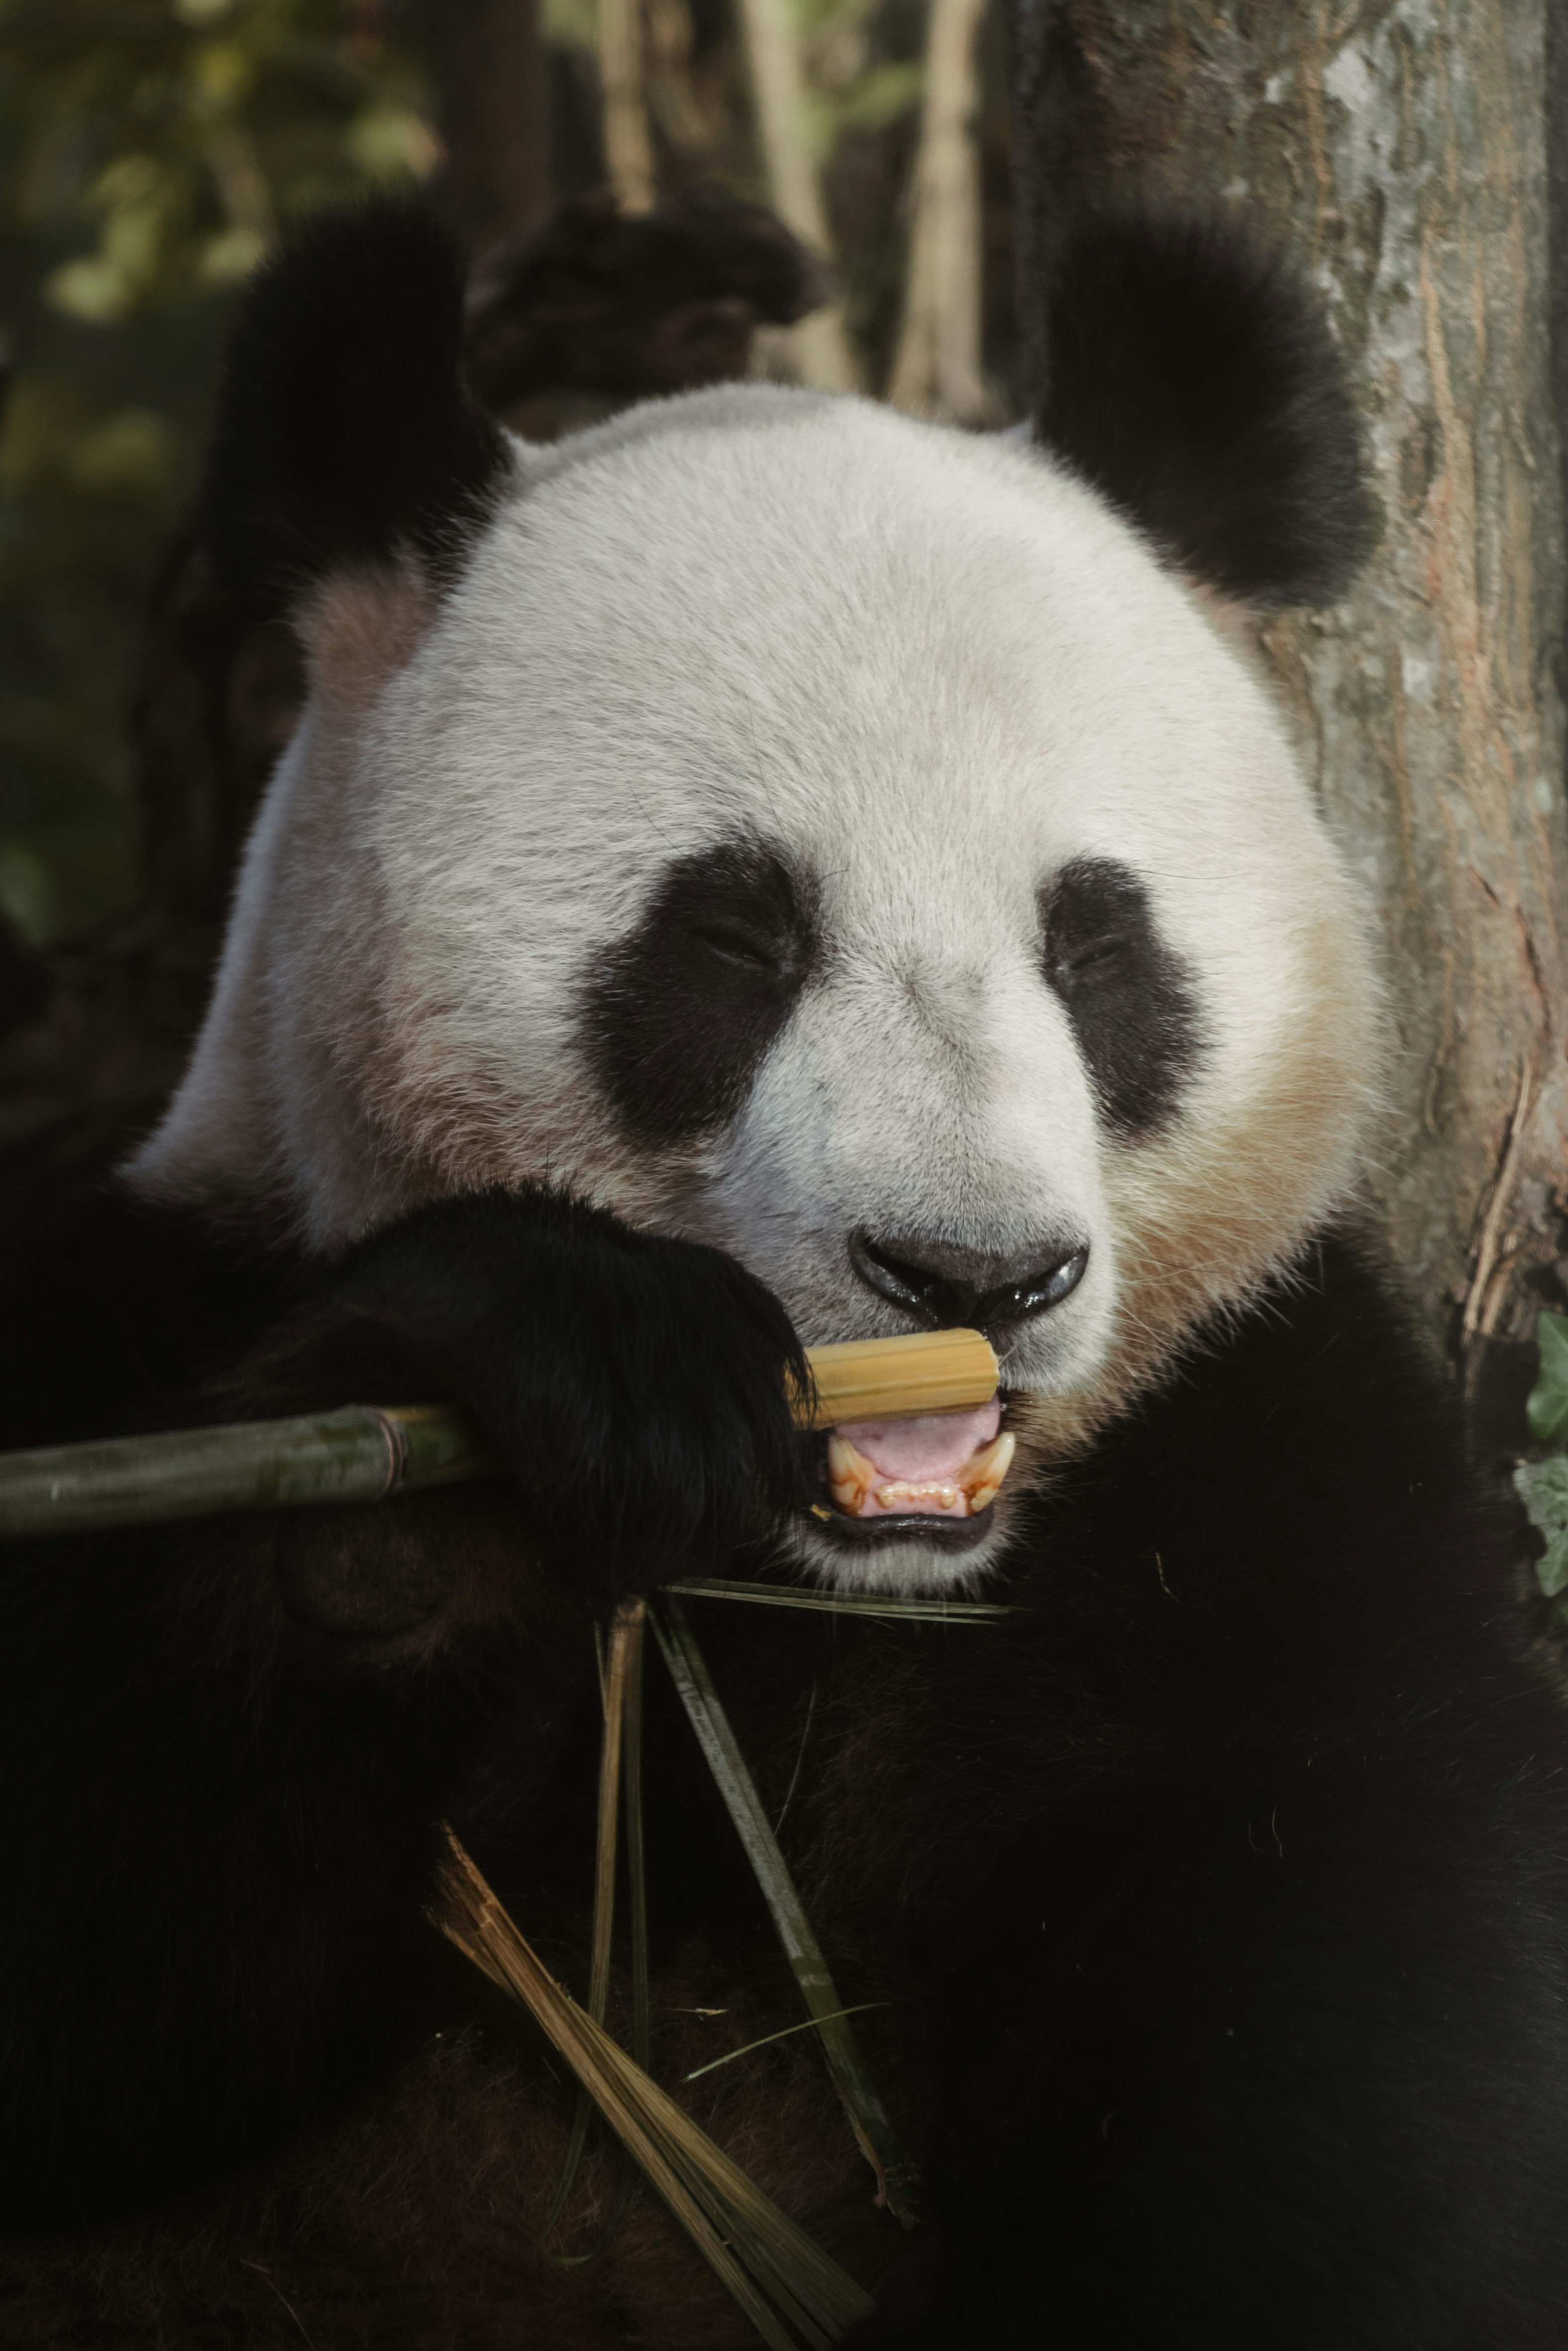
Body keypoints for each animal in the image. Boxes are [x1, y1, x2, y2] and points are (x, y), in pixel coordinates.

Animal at [4, 200, 1568, 2351]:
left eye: (1095, 943)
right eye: (735, 937)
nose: (970, 1269)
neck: (821, 1581)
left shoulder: (1244, 1445)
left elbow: (1341, 2011)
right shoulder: (160, 1303)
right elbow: (98, 1979)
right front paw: (525, 1387)